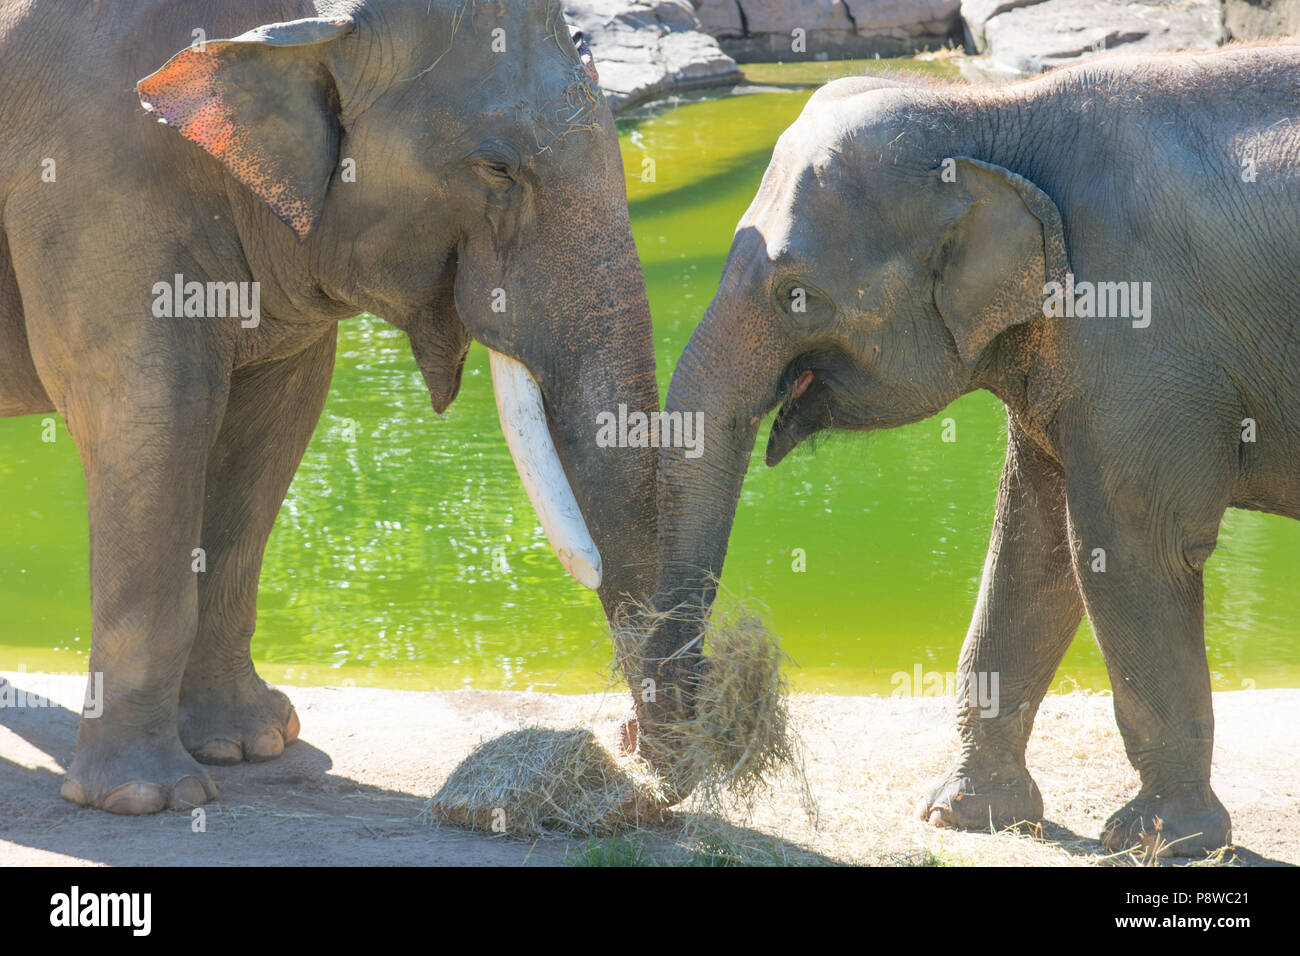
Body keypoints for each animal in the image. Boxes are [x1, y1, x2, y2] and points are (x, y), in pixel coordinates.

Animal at [0, 0, 659, 813]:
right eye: (498, 167)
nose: (630, 747)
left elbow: (276, 417)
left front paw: (252, 744)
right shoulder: (89, 188)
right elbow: (154, 409)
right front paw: (149, 800)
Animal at [636, 45, 1300, 855]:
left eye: (799, 294)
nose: (664, 778)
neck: (996, 115)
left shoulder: (1146, 336)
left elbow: (1132, 548)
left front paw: (1160, 841)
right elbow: (1031, 550)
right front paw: (964, 814)